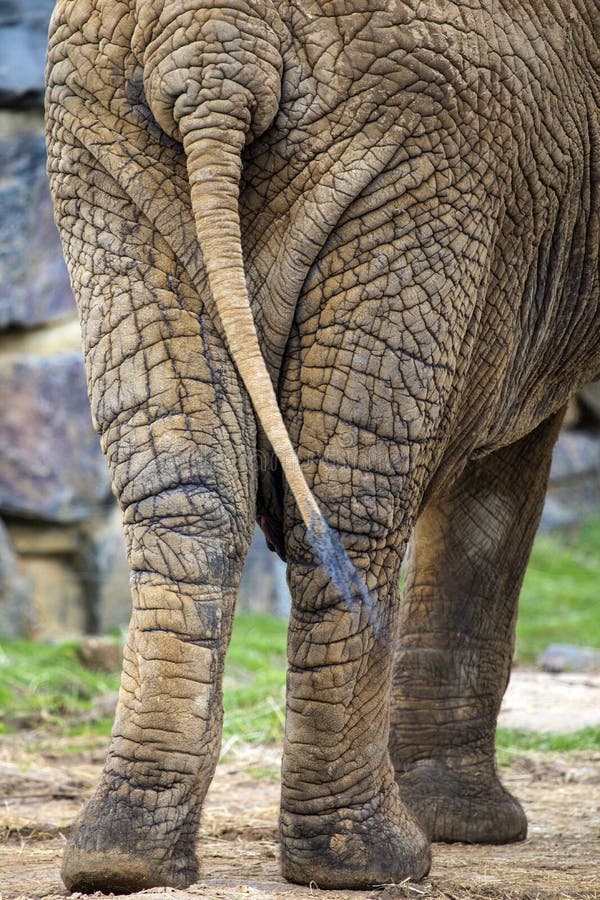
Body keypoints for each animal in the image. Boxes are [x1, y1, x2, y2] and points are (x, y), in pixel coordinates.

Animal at [45, 0, 599, 893]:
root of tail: (215, 55)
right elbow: (502, 462)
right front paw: (469, 828)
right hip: (427, 156)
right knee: (354, 497)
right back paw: (374, 861)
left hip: (103, 146)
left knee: (188, 502)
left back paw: (121, 858)